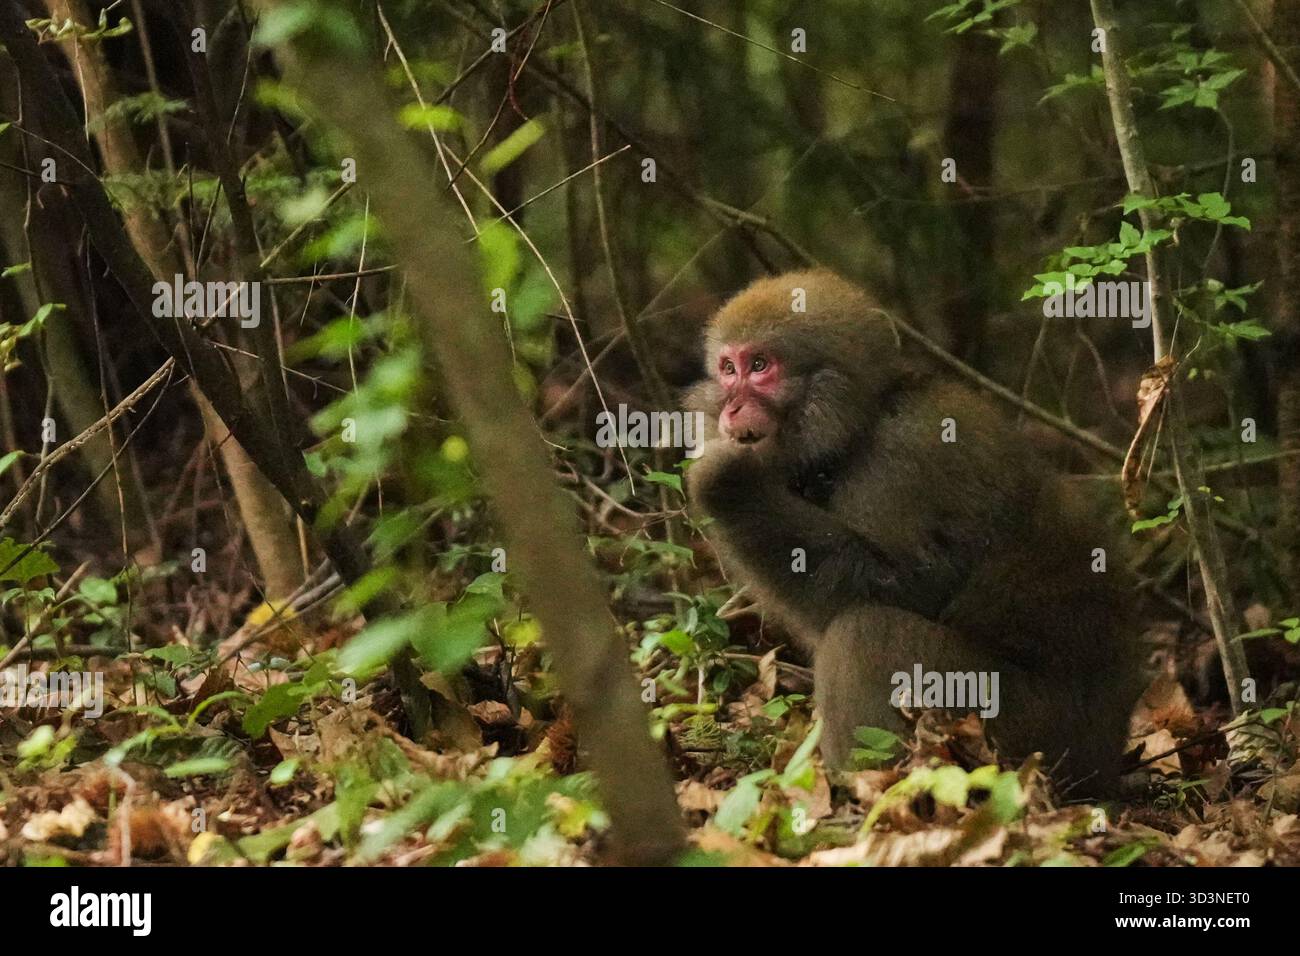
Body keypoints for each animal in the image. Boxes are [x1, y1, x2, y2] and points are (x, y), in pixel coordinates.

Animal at [686, 269, 1143, 796]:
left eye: (760, 366)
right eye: (728, 369)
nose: (732, 407)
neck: (861, 425)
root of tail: (1105, 762)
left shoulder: (906, 458)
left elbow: (904, 587)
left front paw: (724, 479)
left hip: (1018, 735)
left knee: (867, 632)